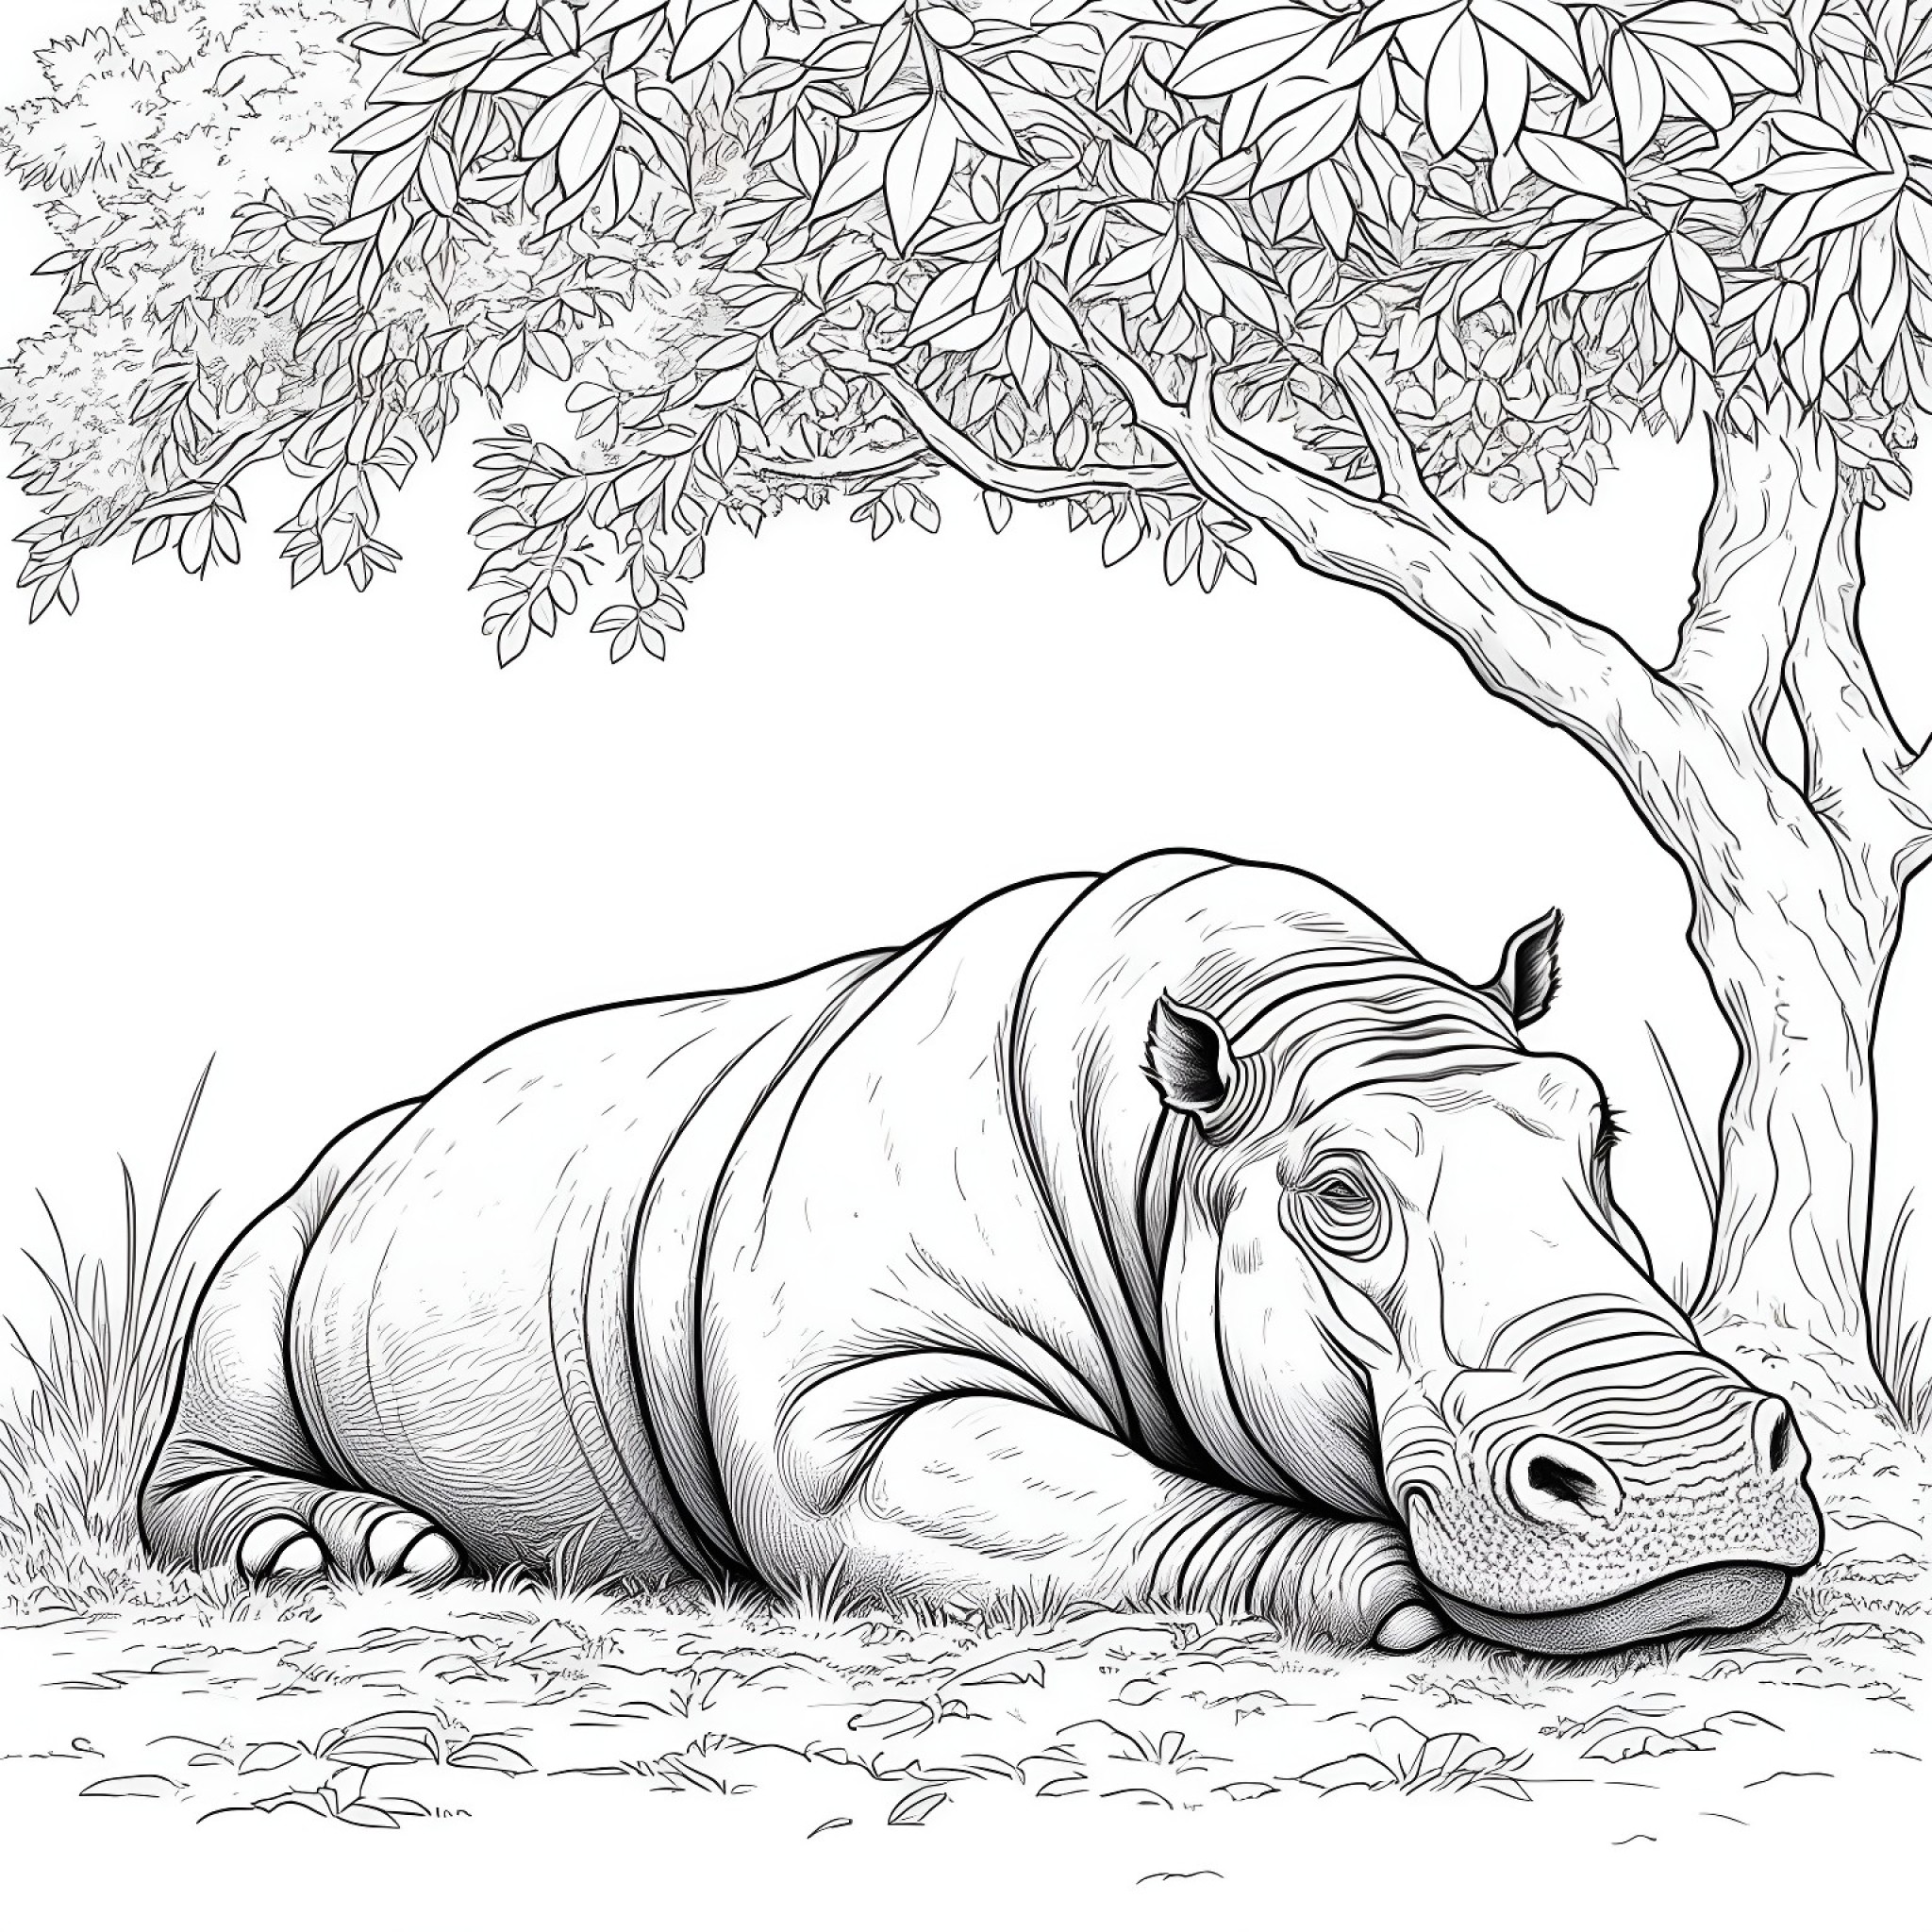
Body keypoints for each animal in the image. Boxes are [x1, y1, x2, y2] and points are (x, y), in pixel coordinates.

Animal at [140, 851, 1822, 1654]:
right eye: (1341, 1196)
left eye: (1603, 1132)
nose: (1693, 1488)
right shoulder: (850, 1415)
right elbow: (1119, 1506)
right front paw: (1387, 1598)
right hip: (298, 1206)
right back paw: (355, 1555)